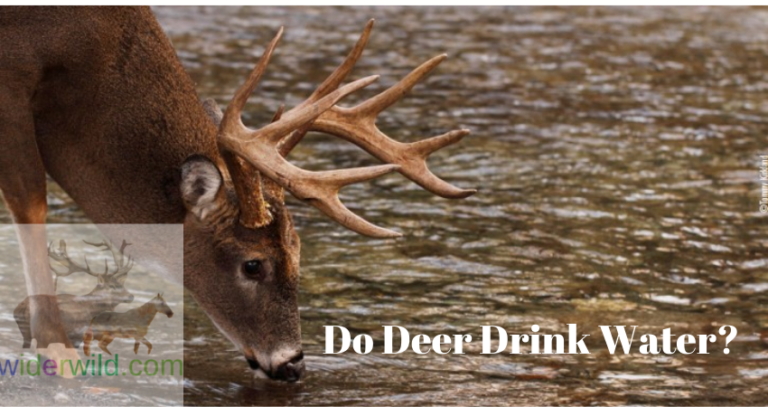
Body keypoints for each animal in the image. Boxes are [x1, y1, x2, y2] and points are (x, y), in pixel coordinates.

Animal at [0, 7, 474, 382]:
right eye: (252, 264)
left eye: (299, 252)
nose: (292, 365)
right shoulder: (12, 72)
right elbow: (31, 200)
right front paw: (58, 351)